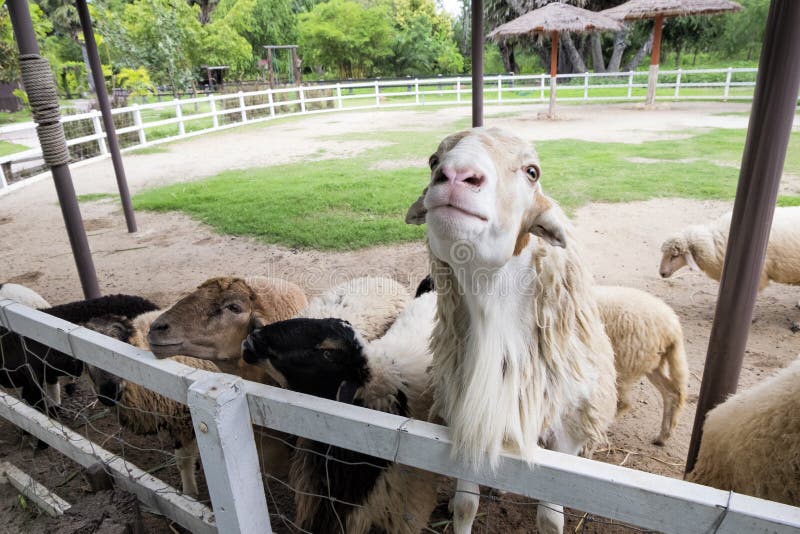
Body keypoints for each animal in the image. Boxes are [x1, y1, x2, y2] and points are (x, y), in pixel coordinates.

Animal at [406, 127, 617, 534]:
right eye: (433, 160)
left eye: (532, 171)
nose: (456, 175)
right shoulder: (465, 411)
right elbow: (465, 505)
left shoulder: (565, 430)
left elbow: (550, 519)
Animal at [593, 285, 688, 445]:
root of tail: (673, 327)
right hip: (651, 363)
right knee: (672, 394)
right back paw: (662, 437)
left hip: (623, 363)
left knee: (623, 402)